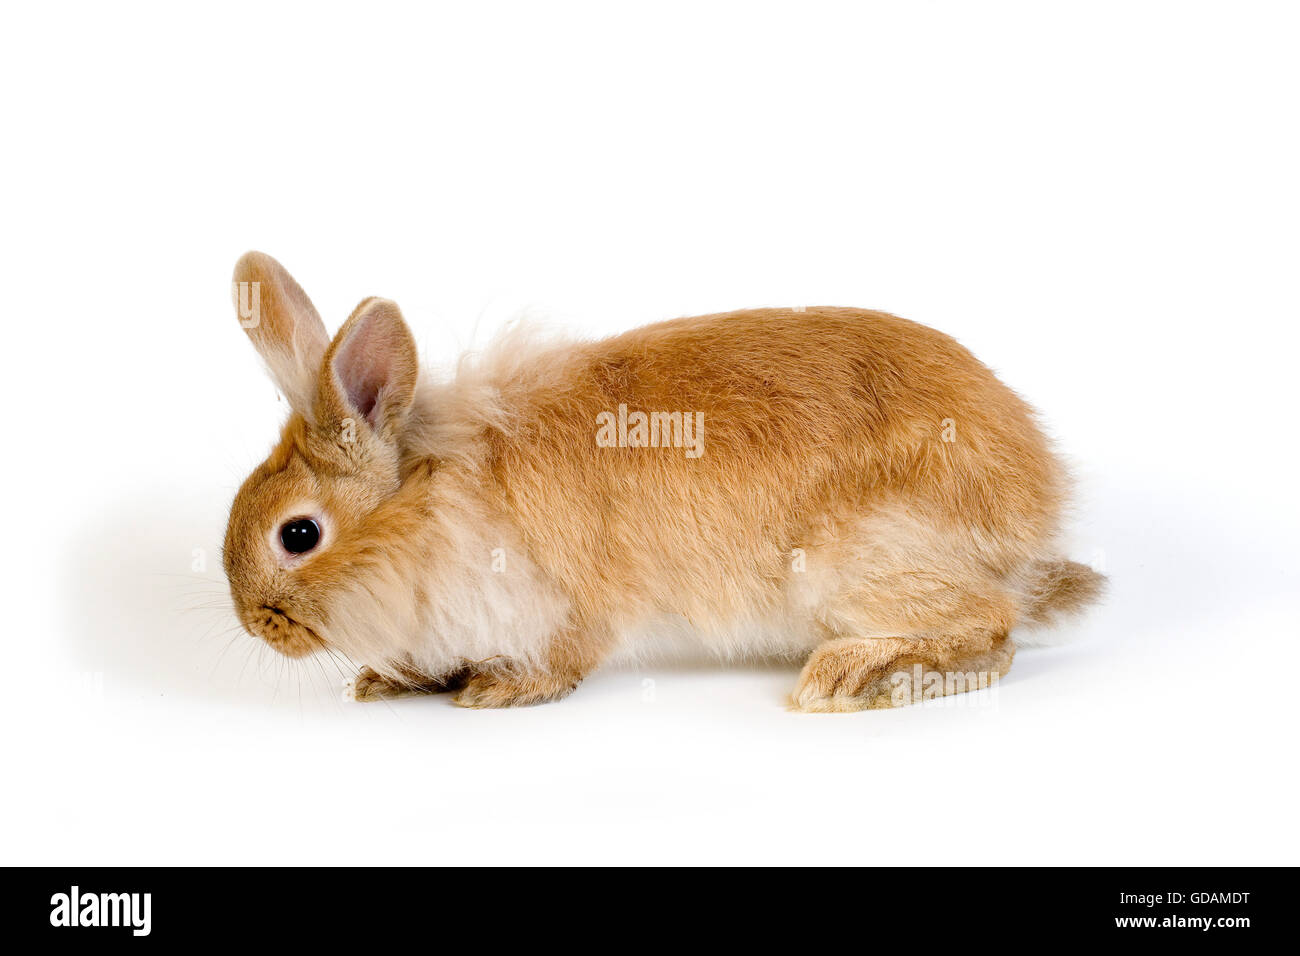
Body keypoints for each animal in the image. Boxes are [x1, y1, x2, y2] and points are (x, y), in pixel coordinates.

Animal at [222, 251, 1104, 711]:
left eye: (298, 534)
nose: (255, 625)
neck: (435, 502)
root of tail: (1036, 502)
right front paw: (383, 681)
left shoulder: (565, 603)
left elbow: (562, 662)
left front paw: (494, 693)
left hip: (863, 564)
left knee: (992, 628)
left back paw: (855, 676)